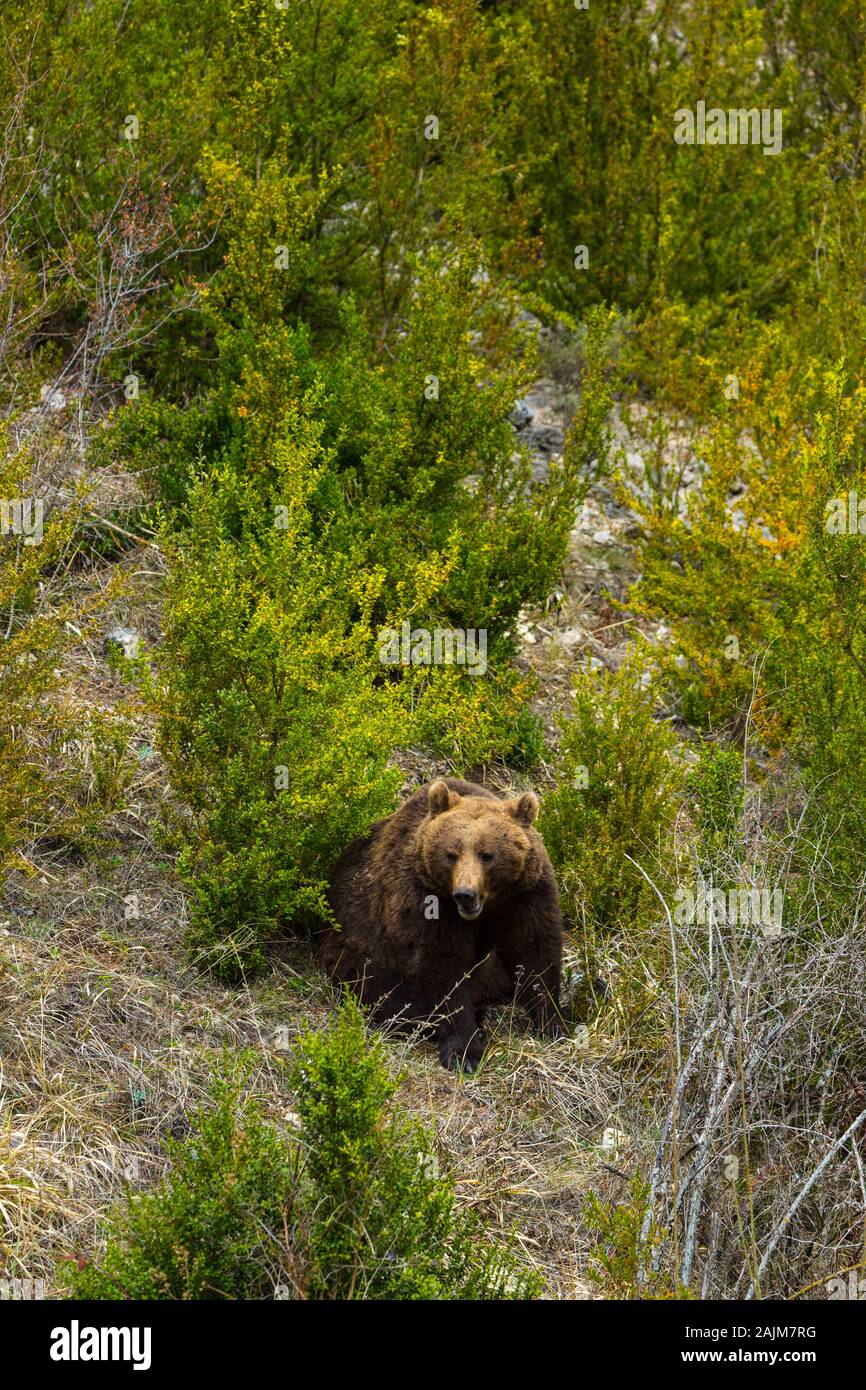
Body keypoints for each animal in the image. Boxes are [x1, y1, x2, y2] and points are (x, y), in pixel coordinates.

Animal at [318, 777, 565, 1071]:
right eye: (451, 854)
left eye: (487, 855)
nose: (464, 894)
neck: (489, 905)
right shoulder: (427, 903)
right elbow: (443, 968)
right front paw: (465, 1052)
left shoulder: (526, 894)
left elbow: (534, 952)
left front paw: (553, 1023)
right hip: (358, 945)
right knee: (378, 988)